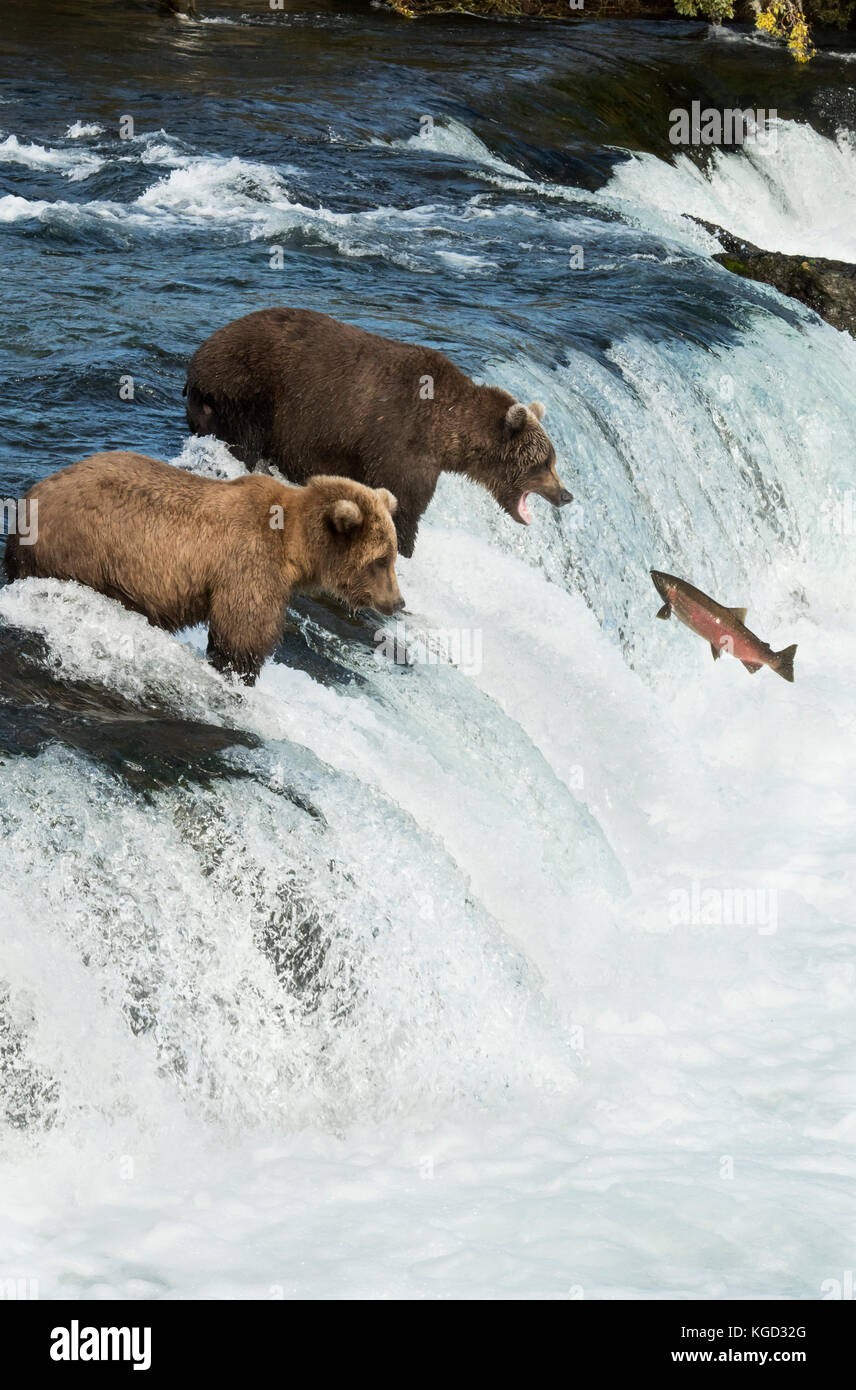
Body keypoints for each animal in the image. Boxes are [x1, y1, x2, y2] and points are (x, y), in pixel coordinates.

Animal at [4, 451, 403, 686]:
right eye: (381, 560)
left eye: (393, 555)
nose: (397, 602)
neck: (295, 548)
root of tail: (27, 502)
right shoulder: (249, 566)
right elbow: (242, 631)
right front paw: (239, 672)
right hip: (83, 550)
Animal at [184, 307, 573, 558]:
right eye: (543, 462)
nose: (566, 495)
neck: (448, 435)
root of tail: (198, 356)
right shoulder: (403, 446)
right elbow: (404, 509)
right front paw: (404, 548)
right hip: (245, 391)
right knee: (244, 443)